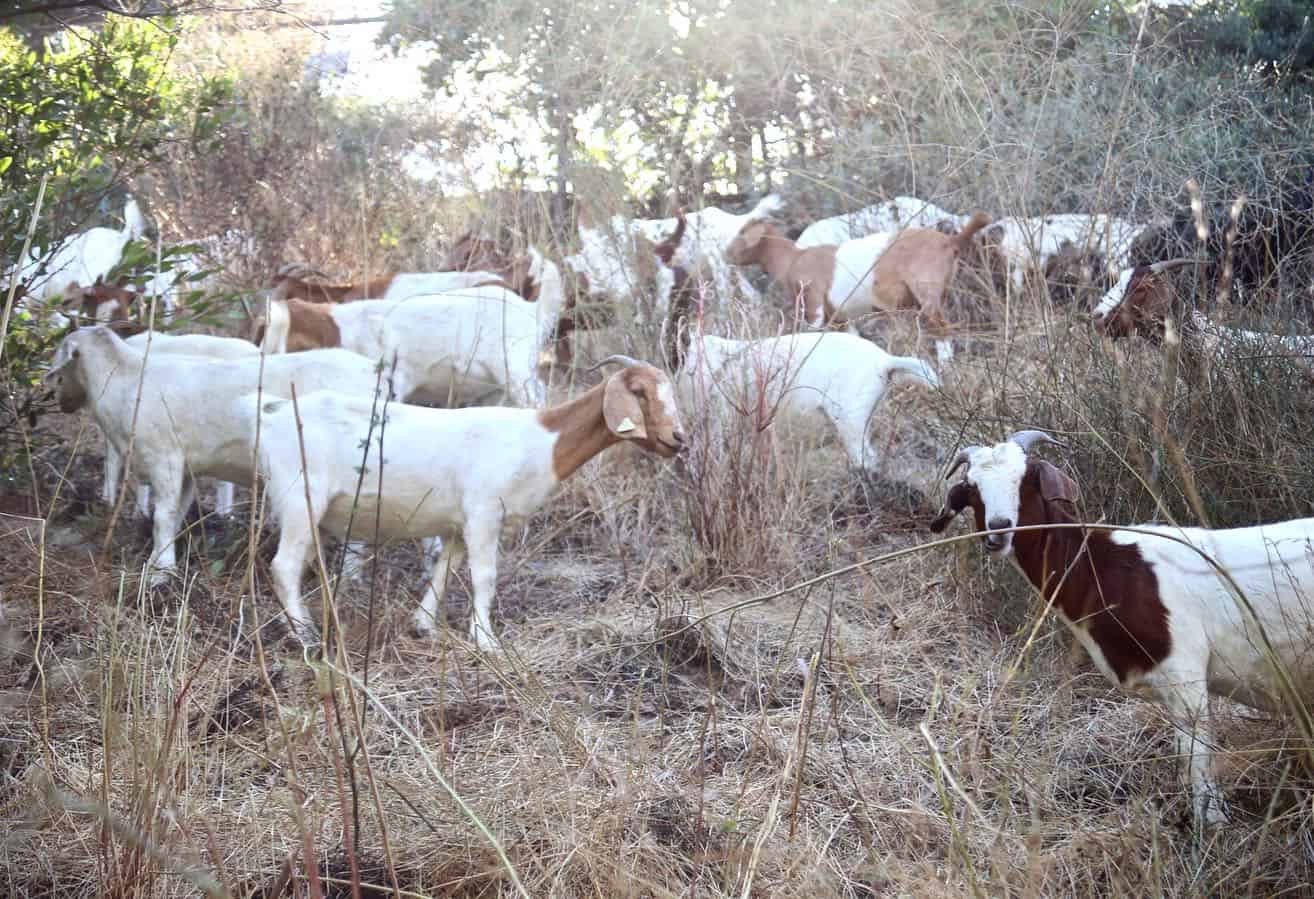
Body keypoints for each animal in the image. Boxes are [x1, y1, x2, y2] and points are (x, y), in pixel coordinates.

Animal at [46, 326, 386, 586]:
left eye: (62, 369)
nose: (60, 402)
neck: (124, 379)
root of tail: (375, 378)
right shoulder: (184, 470)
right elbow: (175, 516)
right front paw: (159, 563)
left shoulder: (164, 458)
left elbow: (162, 517)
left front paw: (160, 575)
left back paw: (349, 577)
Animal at [255, 355, 685, 648]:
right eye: (640, 392)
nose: (678, 438)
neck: (541, 441)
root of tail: (274, 418)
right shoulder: (483, 513)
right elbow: (484, 577)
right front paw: (486, 640)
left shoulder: (459, 525)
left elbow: (445, 571)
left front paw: (423, 625)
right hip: (300, 499)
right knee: (283, 566)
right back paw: (305, 635)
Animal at [930, 429, 1314, 824]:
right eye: (972, 489)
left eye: (1026, 479)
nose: (998, 530)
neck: (1103, 567)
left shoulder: (1185, 672)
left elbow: (1198, 759)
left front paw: (1213, 826)